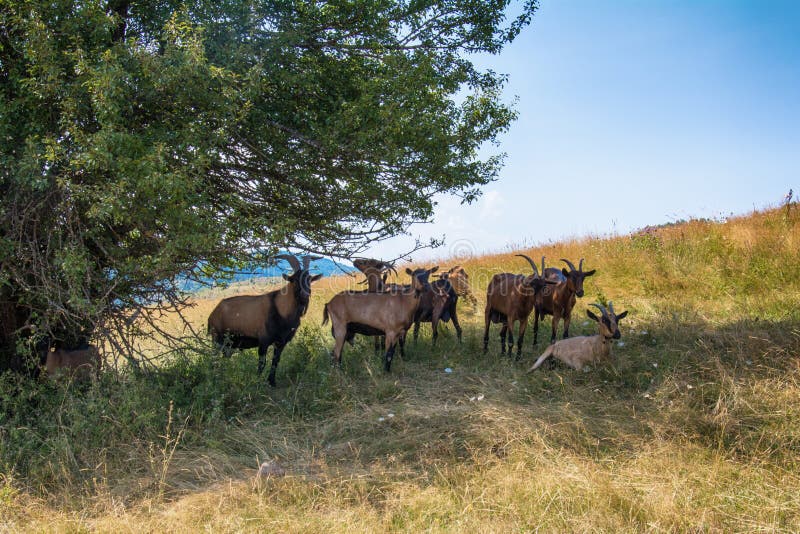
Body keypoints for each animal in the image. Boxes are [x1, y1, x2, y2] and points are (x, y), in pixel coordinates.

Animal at [207, 254, 322, 386]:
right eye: (294, 280)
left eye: (309, 279)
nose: (305, 296)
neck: (281, 310)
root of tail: (212, 315)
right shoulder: (263, 340)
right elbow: (262, 362)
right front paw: (257, 382)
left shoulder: (281, 342)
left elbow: (275, 361)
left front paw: (272, 382)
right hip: (217, 338)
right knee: (214, 358)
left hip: (229, 343)